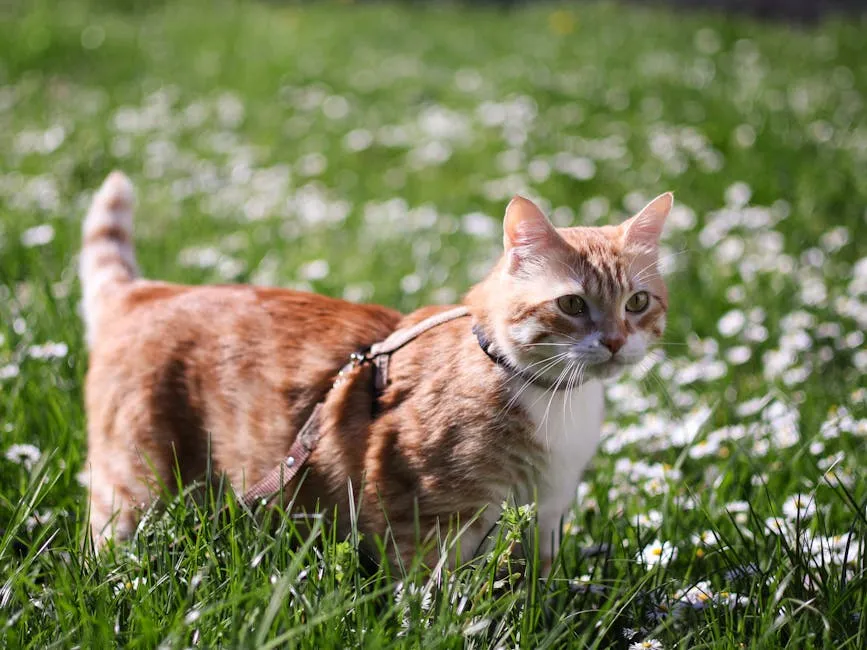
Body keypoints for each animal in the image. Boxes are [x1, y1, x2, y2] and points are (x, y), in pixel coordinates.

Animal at [78, 170, 672, 568]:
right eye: (571, 305)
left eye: (638, 302)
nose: (616, 342)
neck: (549, 395)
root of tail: (146, 292)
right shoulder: (425, 516)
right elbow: (433, 597)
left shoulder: (546, 516)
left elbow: (536, 590)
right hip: (136, 483)